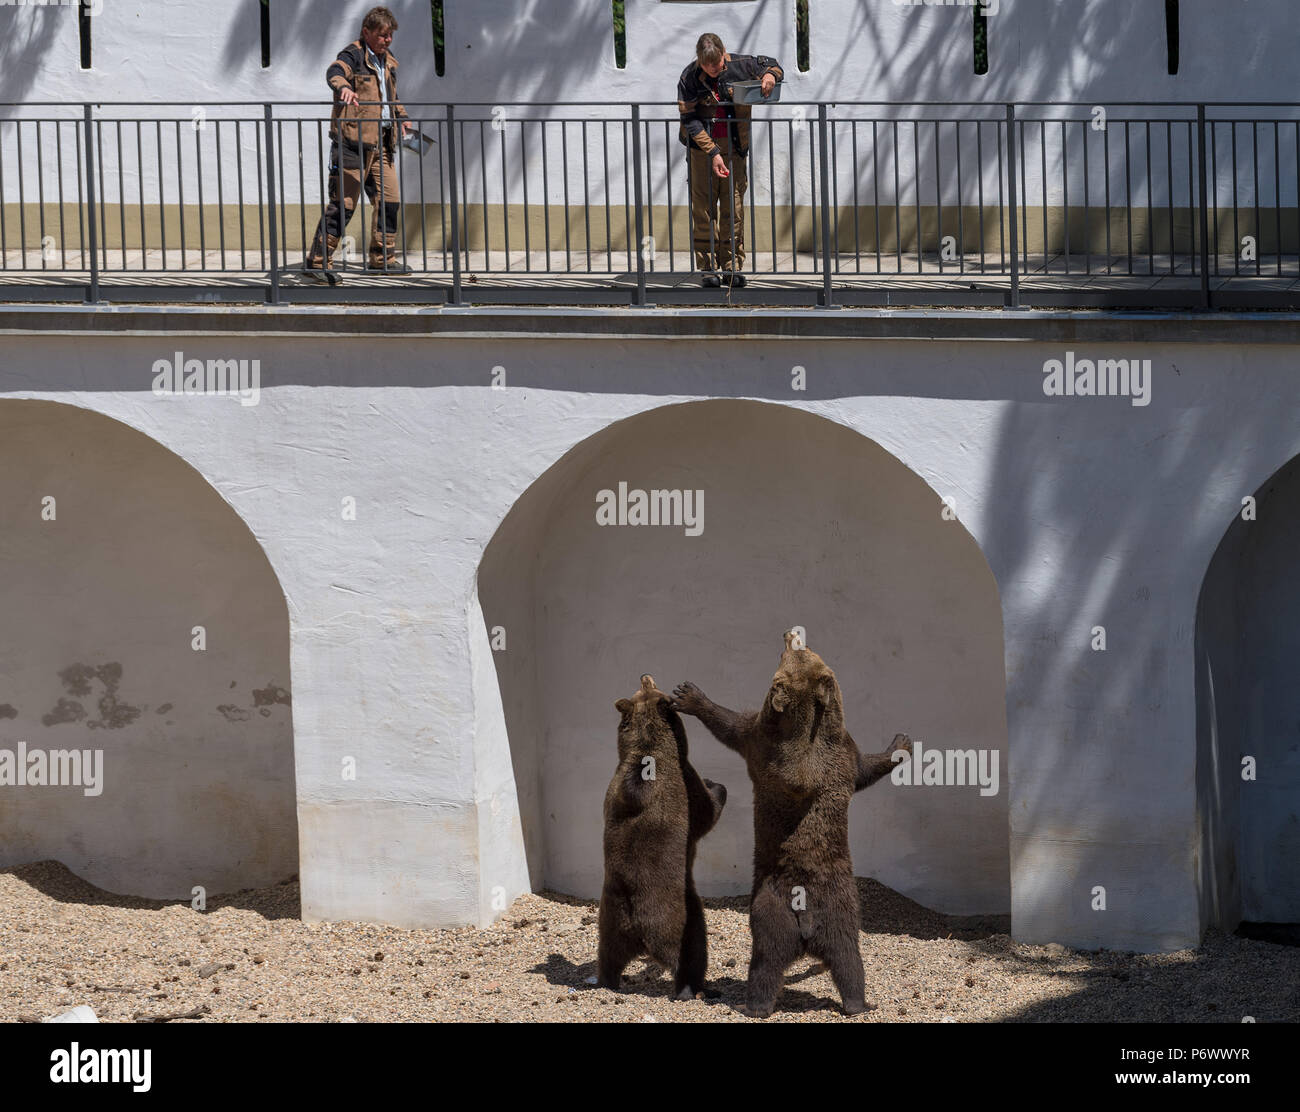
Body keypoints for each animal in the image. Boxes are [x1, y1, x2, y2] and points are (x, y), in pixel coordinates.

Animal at [597, 673, 728, 1000]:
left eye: (645, 685)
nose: (646, 676)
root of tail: (638, 930)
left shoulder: (614, 790)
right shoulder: (685, 784)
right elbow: (707, 812)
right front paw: (716, 785)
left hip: (610, 920)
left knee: (608, 955)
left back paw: (605, 980)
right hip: (679, 917)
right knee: (692, 952)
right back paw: (695, 989)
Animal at [672, 631, 912, 1017]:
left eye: (797, 652)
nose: (791, 634)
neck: (806, 737)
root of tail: (806, 915)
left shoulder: (760, 741)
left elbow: (731, 726)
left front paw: (690, 695)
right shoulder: (845, 754)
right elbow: (867, 768)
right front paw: (901, 742)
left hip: (772, 911)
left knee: (766, 962)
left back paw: (753, 1005)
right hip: (842, 911)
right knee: (849, 959)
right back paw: (858, 1003)